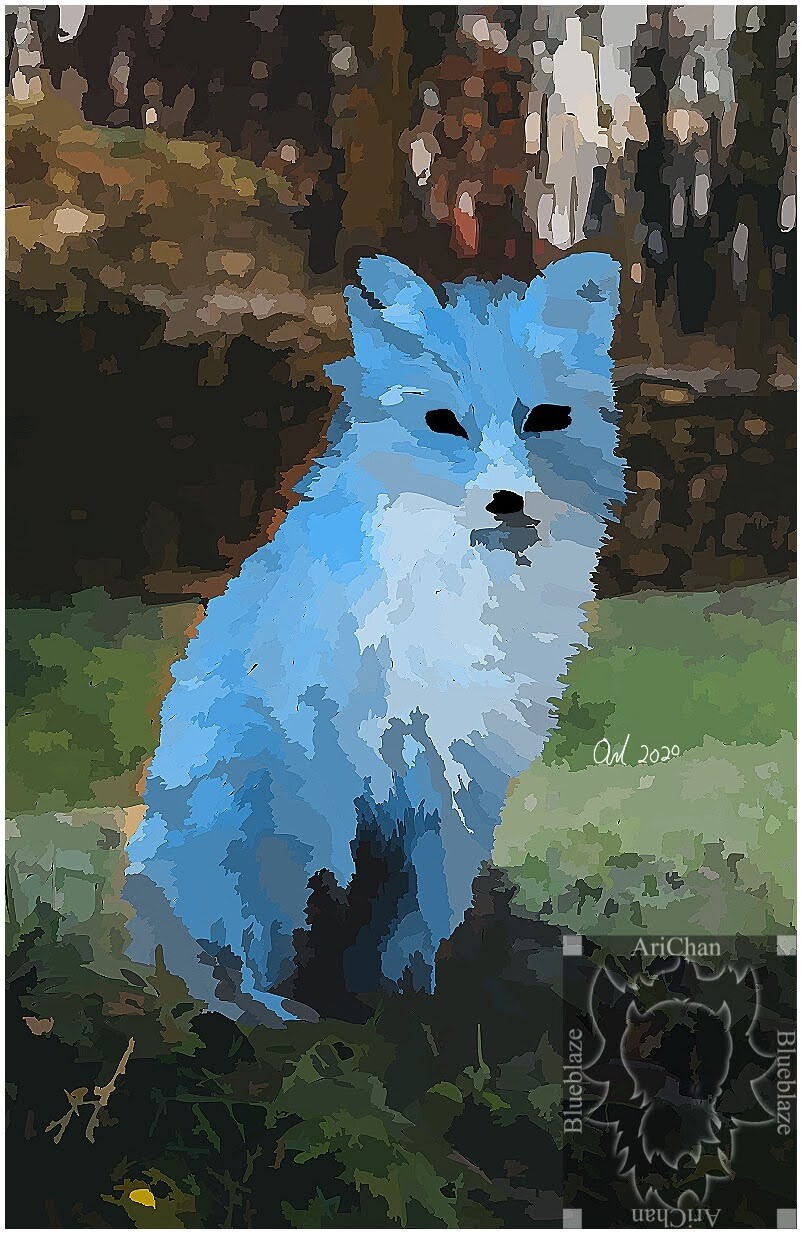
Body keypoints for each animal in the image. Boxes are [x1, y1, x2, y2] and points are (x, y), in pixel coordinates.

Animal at [124, 251, 626, 1022]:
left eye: (545, 419)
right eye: (444, 423)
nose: (507, 500)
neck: (460, 594)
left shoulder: (455, 789)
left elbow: (417, 917)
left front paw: (405, 998)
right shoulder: (326, 774)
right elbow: (306, 914)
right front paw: (320, 1020)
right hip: (226, 828)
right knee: (220, 960)